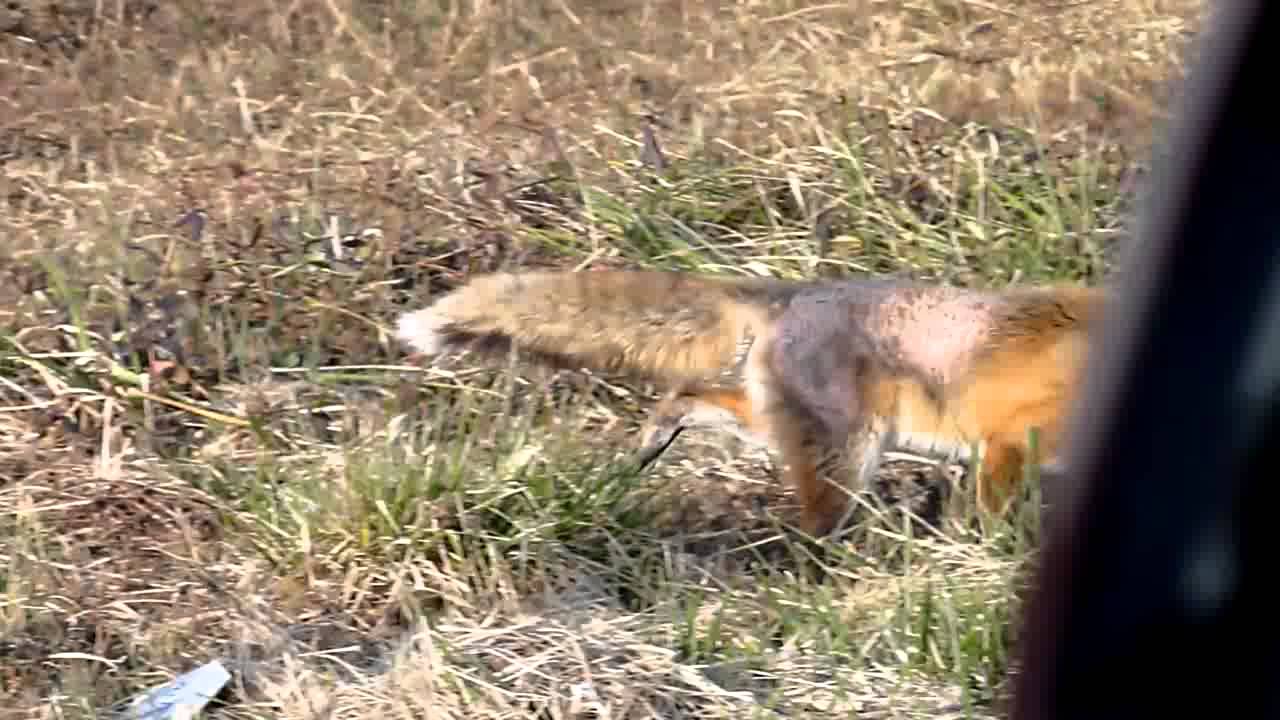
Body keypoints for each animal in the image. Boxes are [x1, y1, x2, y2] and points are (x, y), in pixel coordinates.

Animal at [393, 268, 1105, 537]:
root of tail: (791, 293)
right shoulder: (1009, 443)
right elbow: (991, 523)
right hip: (846, 459)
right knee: (816, 535)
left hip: (779, 424)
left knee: (687, 394)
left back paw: (654, 437)